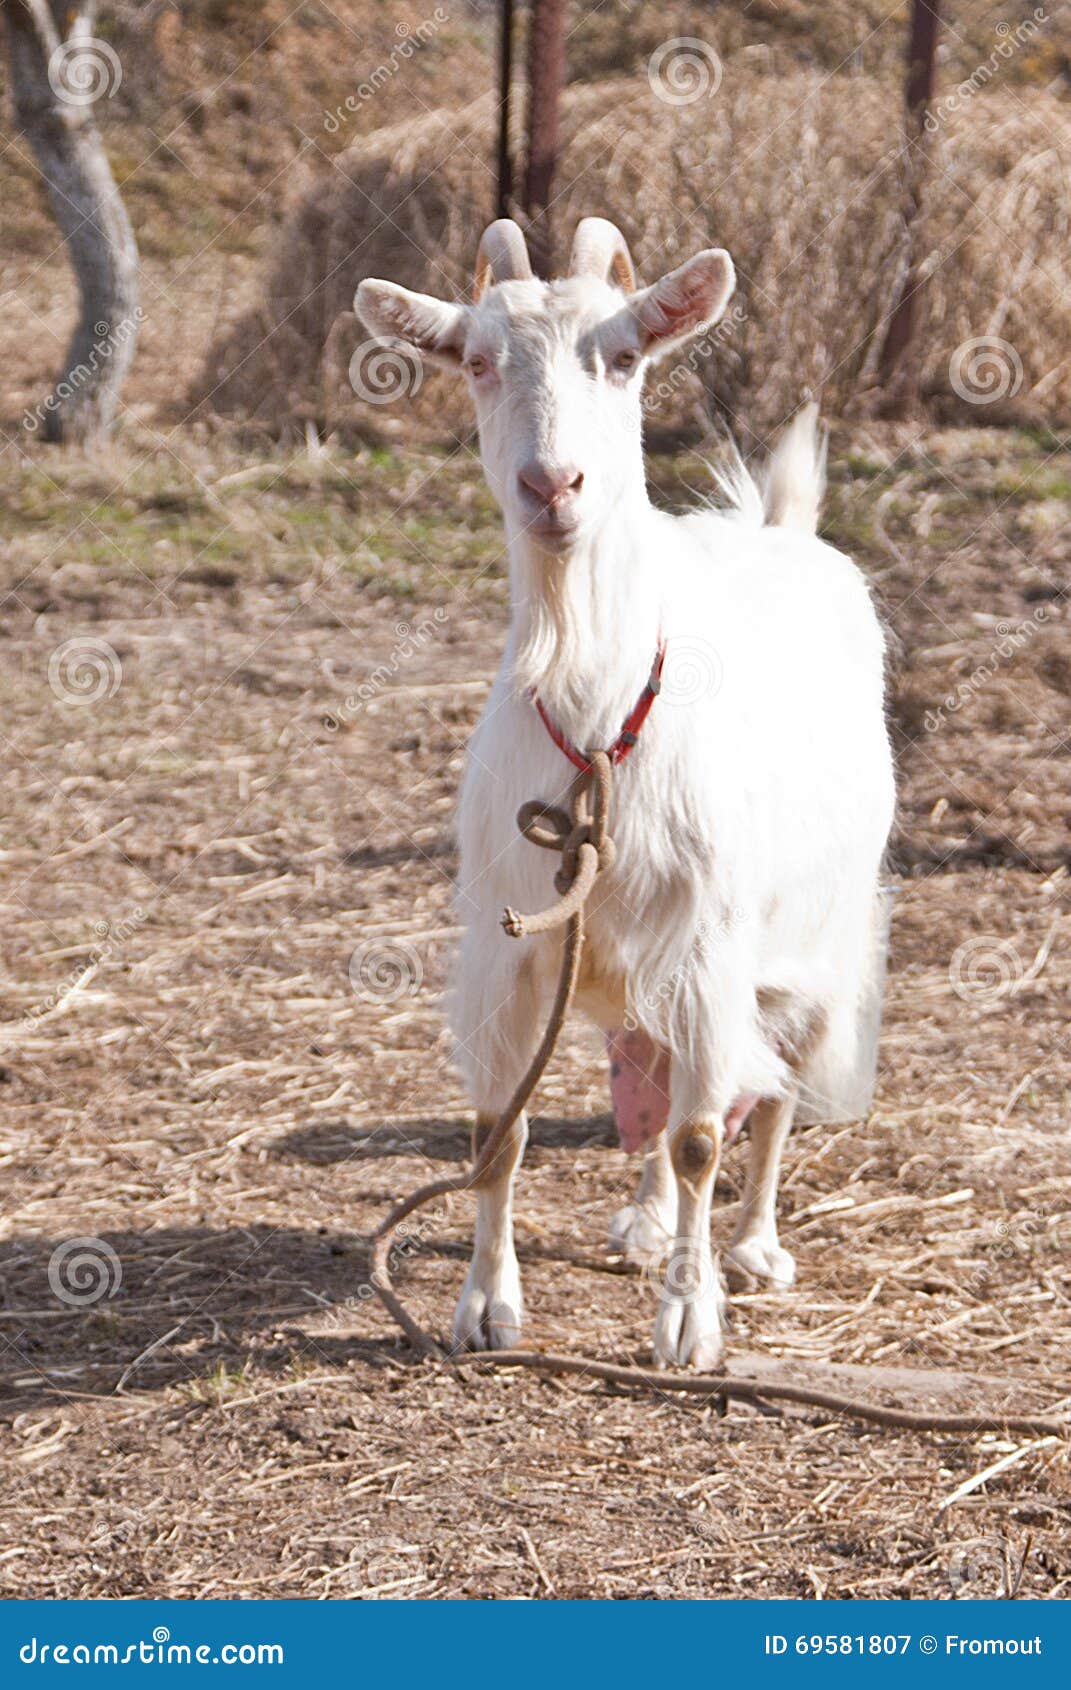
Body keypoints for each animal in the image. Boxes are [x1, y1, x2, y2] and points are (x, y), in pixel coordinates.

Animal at [356, 218, 894, 1368]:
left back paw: (751, 1247)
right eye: (476, 360)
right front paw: (486, 1306)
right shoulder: (512, 945)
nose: (552, 485)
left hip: (815, 949)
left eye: (624, 357)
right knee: (648, 1077)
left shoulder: (714, 939)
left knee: (768, 1095)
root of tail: (780, 529)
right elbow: (499, 1131)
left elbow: (700, 1135)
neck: (596, 716)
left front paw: (690, 1323)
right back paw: (647, 1223)